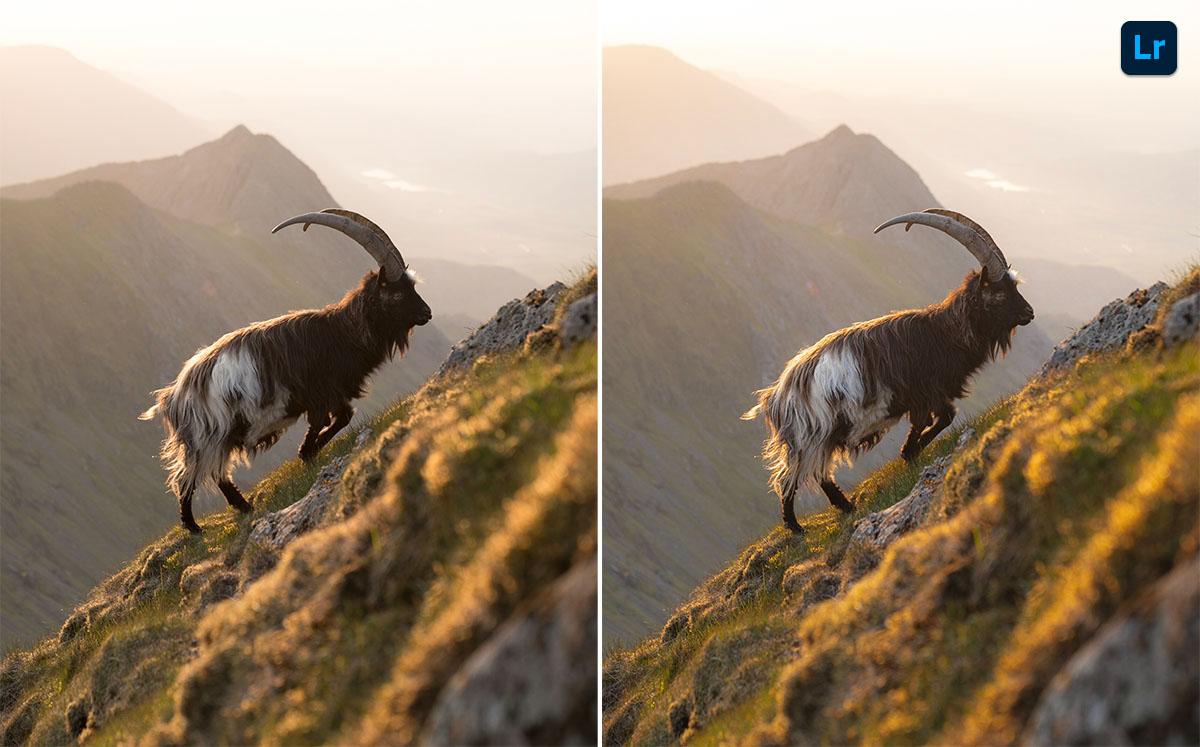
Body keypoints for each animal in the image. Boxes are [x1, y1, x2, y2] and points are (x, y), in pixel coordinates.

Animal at [140, 209, 432, 533]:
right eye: (397, 294)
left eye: (412, 287)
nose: (427, 314)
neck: (342, 333)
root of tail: (173, 396)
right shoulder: (321, 393)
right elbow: (323, 422)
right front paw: (307, 452)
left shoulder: (335, 393)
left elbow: (343, 417)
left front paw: (311, 451)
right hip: (209, 433)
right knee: (193, 474)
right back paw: (194, 525)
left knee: (215, 473)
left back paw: (241, 507)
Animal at [741, 209, 1034, 533]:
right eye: (998, 294)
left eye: (1014, 287)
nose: (1029, 313)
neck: (943, 333)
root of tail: (775, 396)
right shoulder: (923, 393)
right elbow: (927, 422)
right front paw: (910, 452)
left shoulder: (936, 393)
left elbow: (945, 417)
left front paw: (913, 451)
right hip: (811, 434)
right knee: (794, 475)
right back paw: (796, 526)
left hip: (818, 436)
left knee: (817, 473)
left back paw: (844, 507)